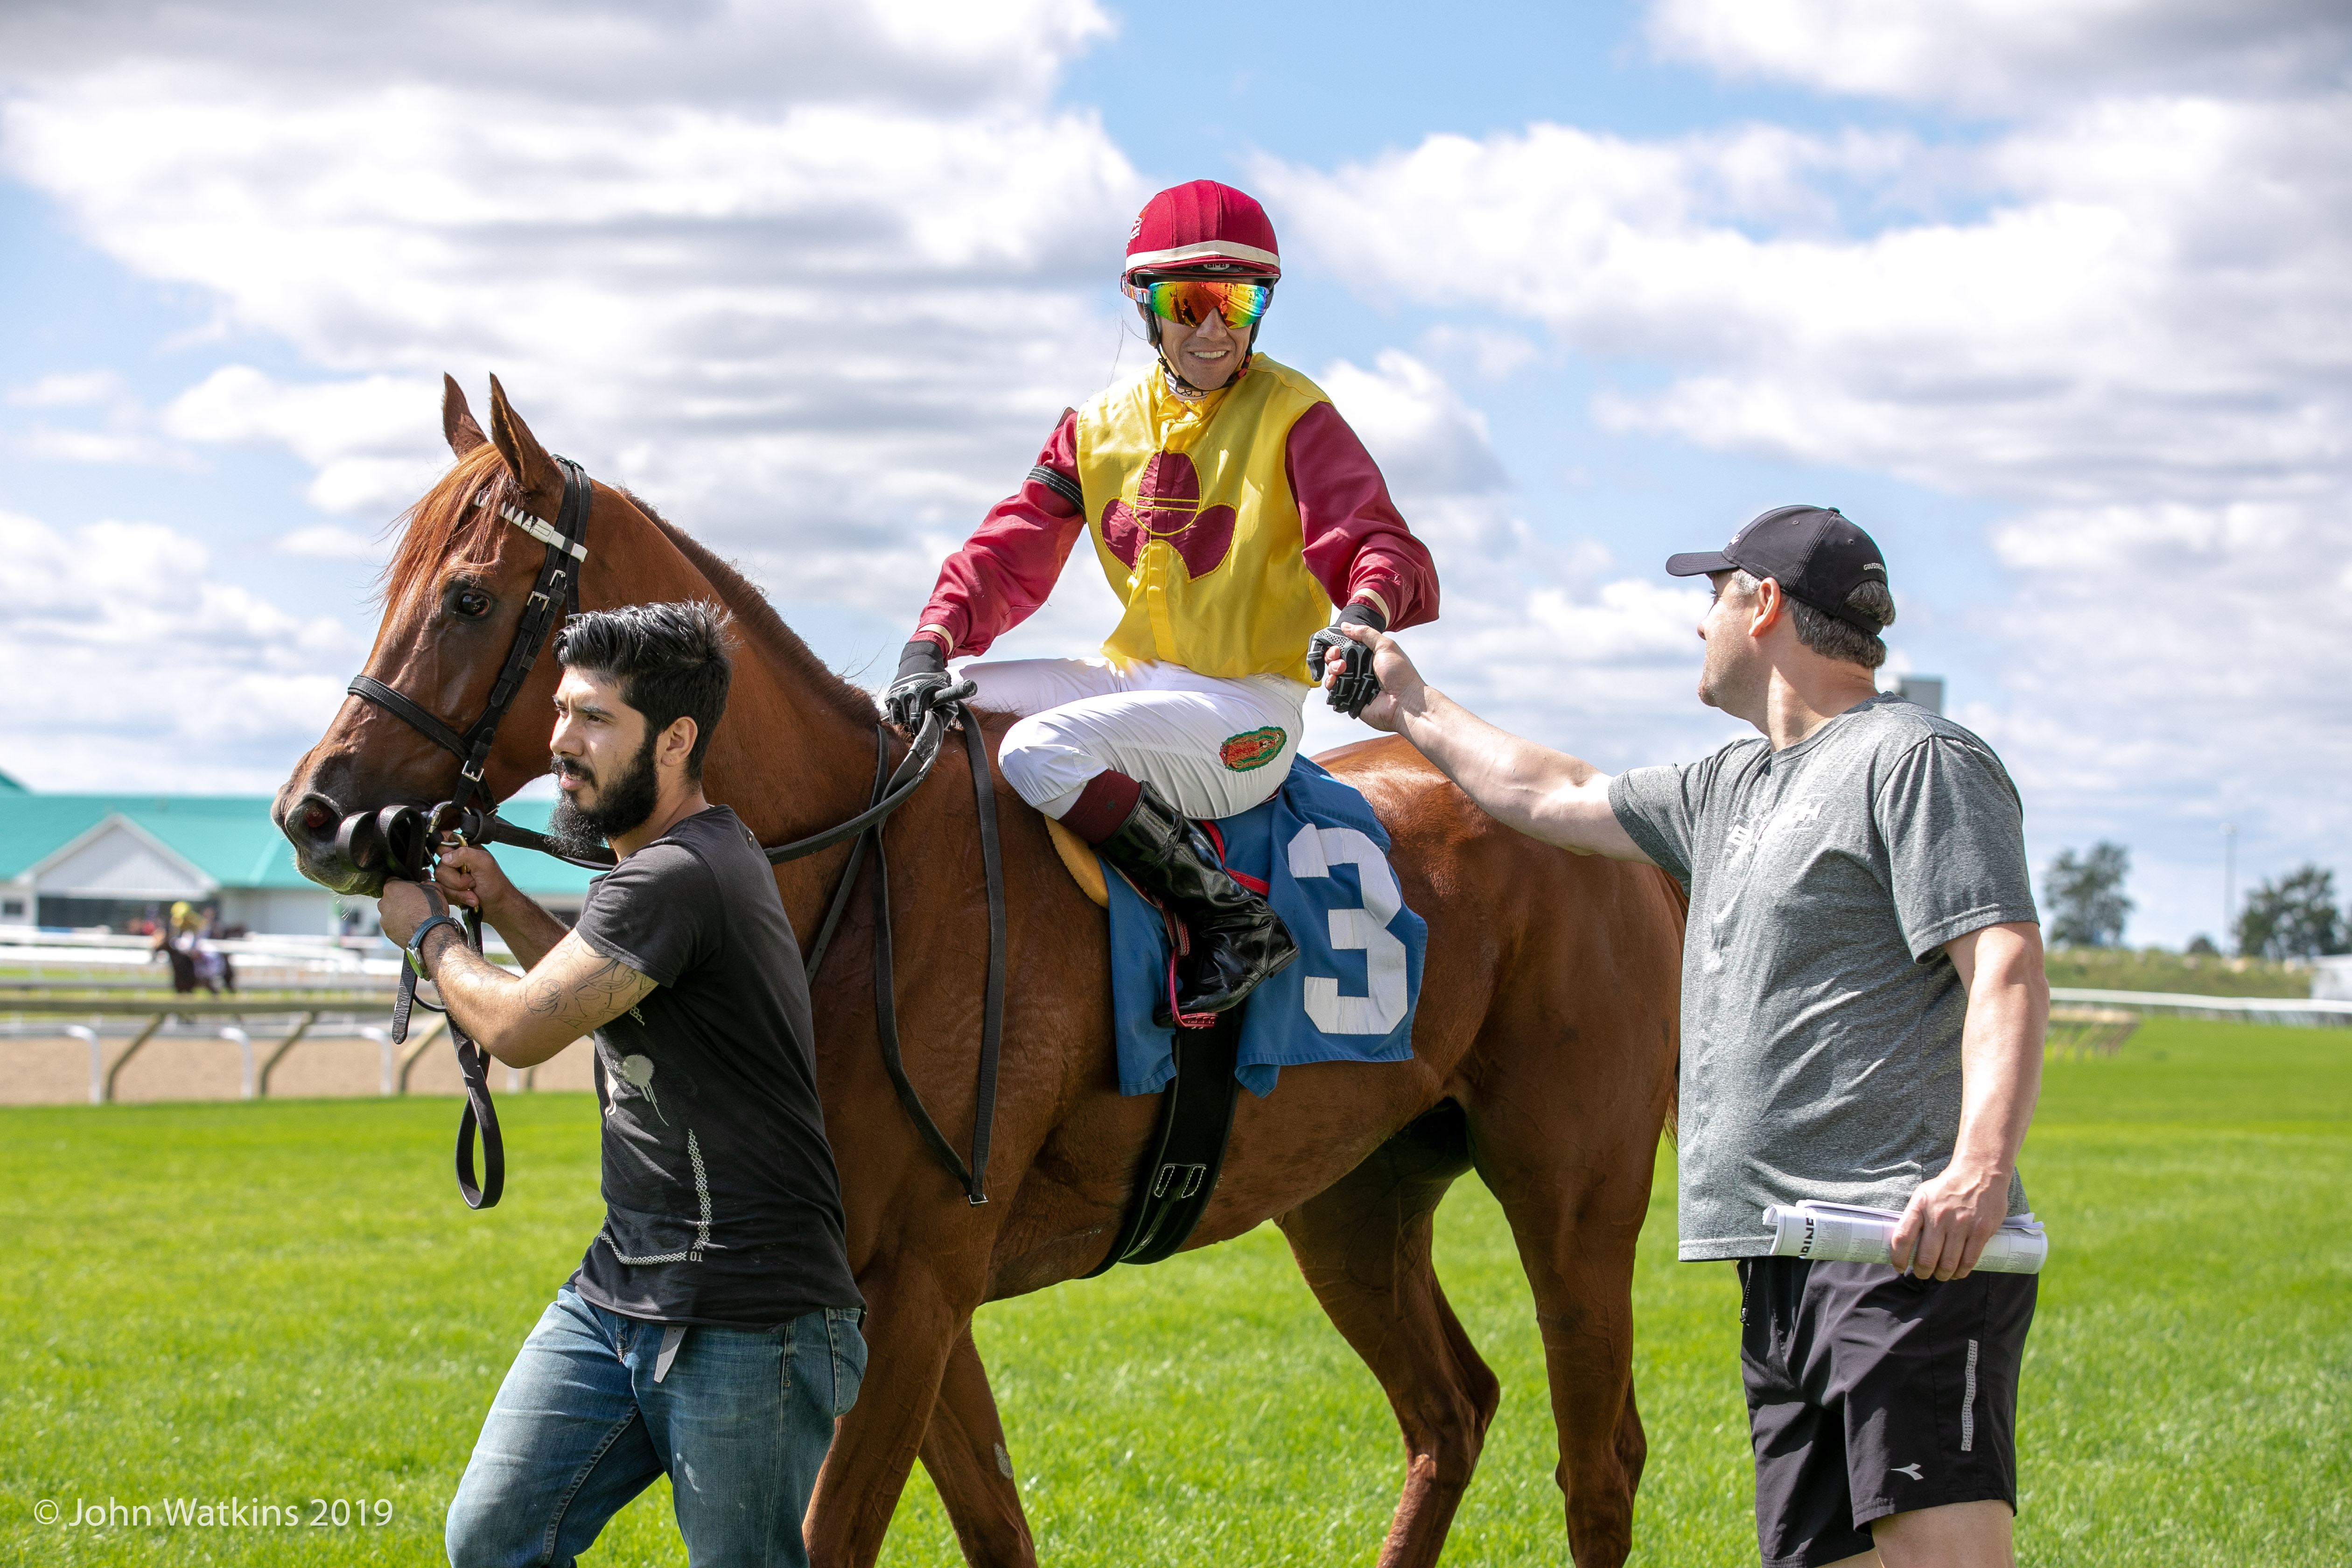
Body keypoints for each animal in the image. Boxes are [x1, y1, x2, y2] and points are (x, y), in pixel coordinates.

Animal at [274, 376, 1686, 1567]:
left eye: (465, 599)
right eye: (391, 589)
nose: (315, 812)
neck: (851, 878)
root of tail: (1605, 812)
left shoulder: (919, 1282)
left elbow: (834, 1534)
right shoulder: (893, 1291)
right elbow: (995, 1524)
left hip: (1572, 1193)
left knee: (1600, 1460)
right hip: (1352, 1197)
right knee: (1451, 1410)